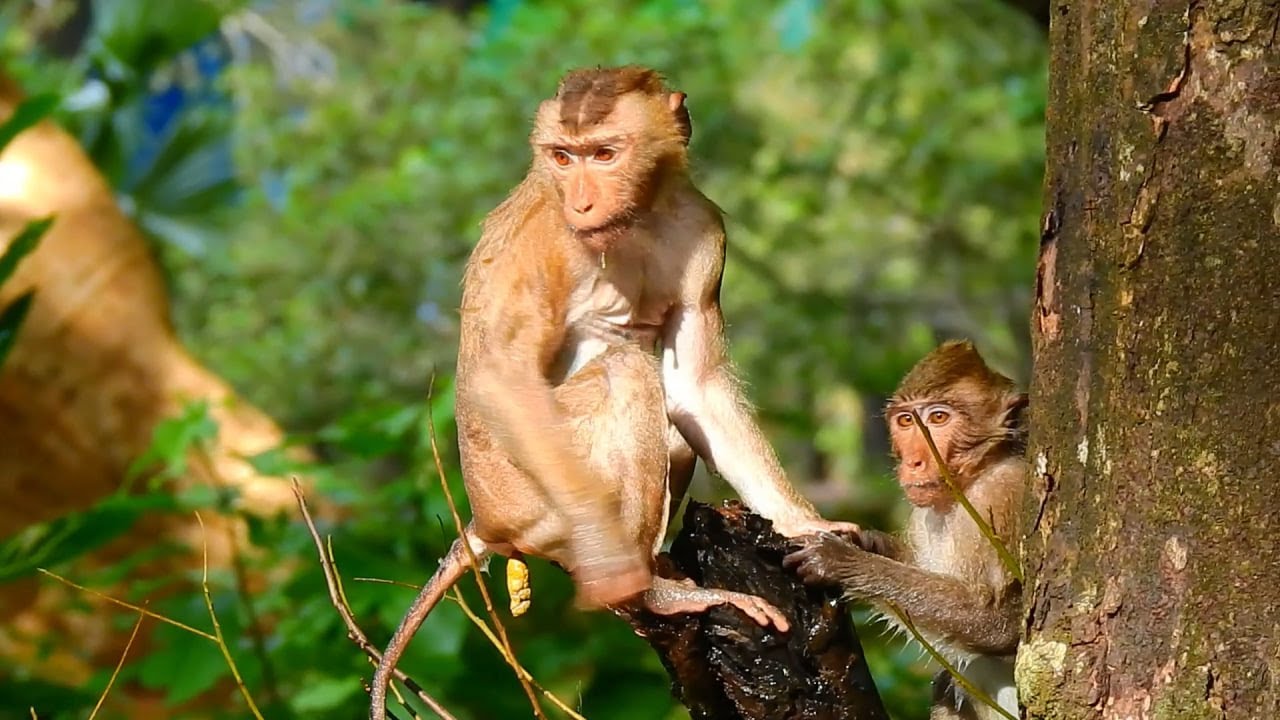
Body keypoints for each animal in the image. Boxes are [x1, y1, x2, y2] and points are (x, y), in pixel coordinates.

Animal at [369, 66, 855, 720]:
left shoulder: (704, 228)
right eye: (563, 156)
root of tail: (485, 520)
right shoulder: (546, 238)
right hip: (532, 500)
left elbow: (695, 386)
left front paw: (803, 525)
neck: (636, 217)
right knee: (625, 372)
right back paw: (653, 594)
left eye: (604, 154)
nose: (581, 200)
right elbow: (500, 376)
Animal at [783, 340, 1027, 720]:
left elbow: (1002, 623)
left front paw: (843, 561)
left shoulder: (1004, 498)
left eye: (939, 418)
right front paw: (866, 542)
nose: (914, 461)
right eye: (906, 420)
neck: (972, 481)